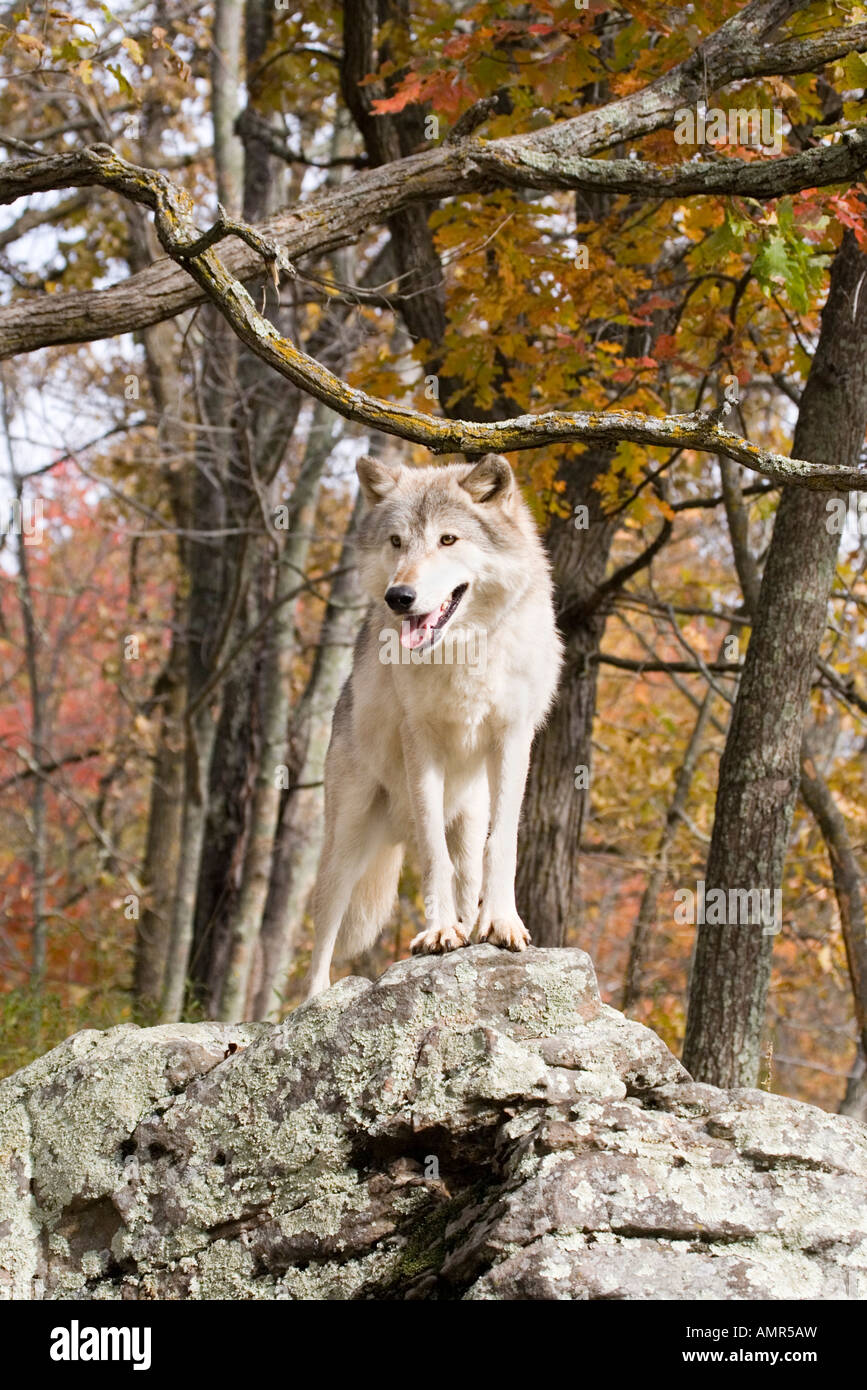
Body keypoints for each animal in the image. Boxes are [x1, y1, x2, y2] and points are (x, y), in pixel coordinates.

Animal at [306, 453, 562, 998]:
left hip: (467, 814)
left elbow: (502, 845)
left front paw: (500, 924)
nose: (399, 596)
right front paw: (440, 932)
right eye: (396, 541)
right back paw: (313, 1003)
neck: (464, 650)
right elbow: (431, 853)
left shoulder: (513, 739)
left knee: (470, 870)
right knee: (324, 933)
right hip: (346, 845)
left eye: (448, 539)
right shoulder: (420, 744)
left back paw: (474, 925)